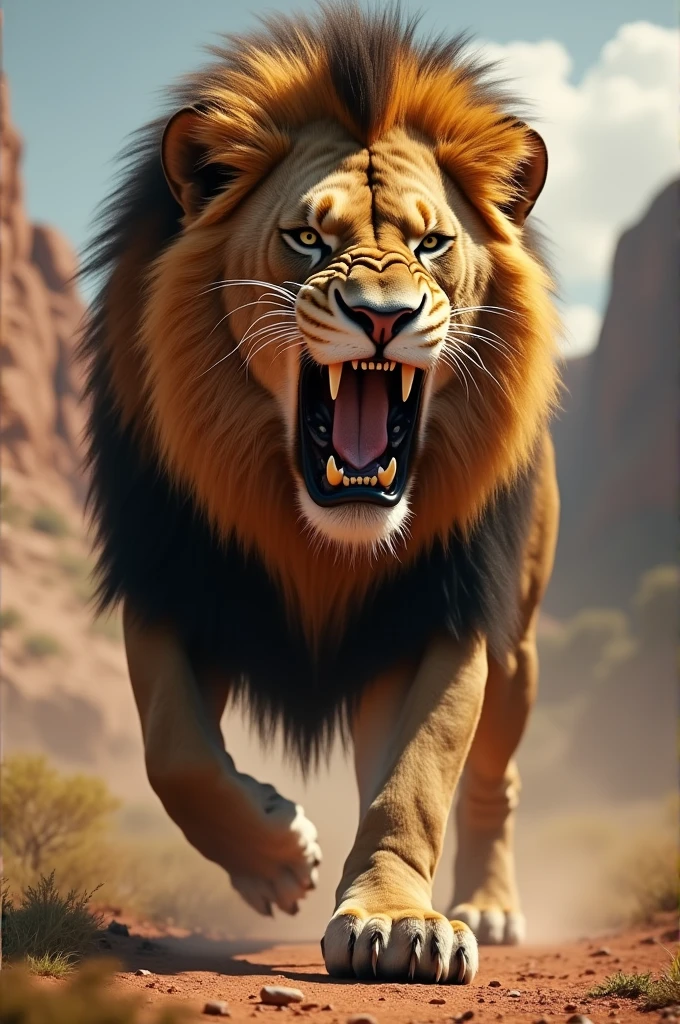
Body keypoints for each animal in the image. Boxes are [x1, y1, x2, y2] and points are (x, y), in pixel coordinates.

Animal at [80, 4, 560, 983]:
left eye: (432, 243)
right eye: (308, 238)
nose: (383, 315)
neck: (321, 537)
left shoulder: (443, 608)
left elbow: (416, 781)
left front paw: (399, 922)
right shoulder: (174, 575)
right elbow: (173, 752)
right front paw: (276, 855)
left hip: (520, 642)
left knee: (494, 777)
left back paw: (488, 905)